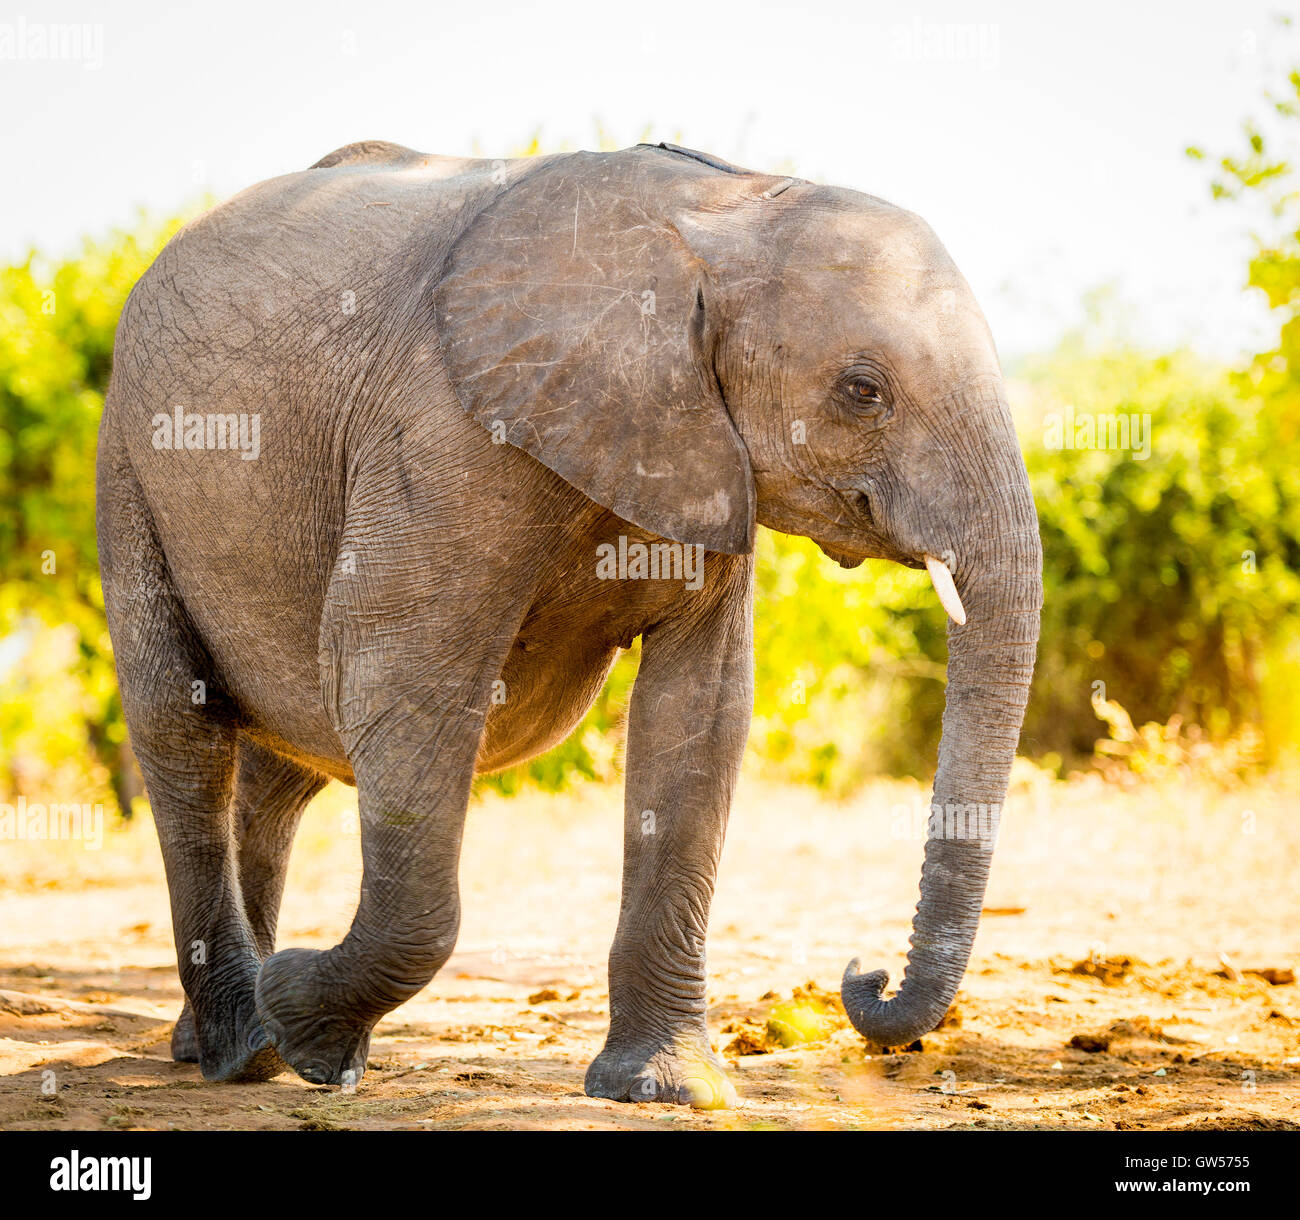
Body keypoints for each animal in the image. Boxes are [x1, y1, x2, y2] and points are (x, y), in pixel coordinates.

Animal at [95, 139, 1041, 1107]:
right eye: (863, 391)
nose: (864, 977)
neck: (719, 214)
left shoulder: (704, 459)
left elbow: (697, 715)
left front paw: (666, 1089)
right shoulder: (444, 433)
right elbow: (396, 678)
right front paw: (306, 1031)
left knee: (282, 771)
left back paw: (214, 1038)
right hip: (130, 464)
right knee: (183, 732)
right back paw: (247, 1046)